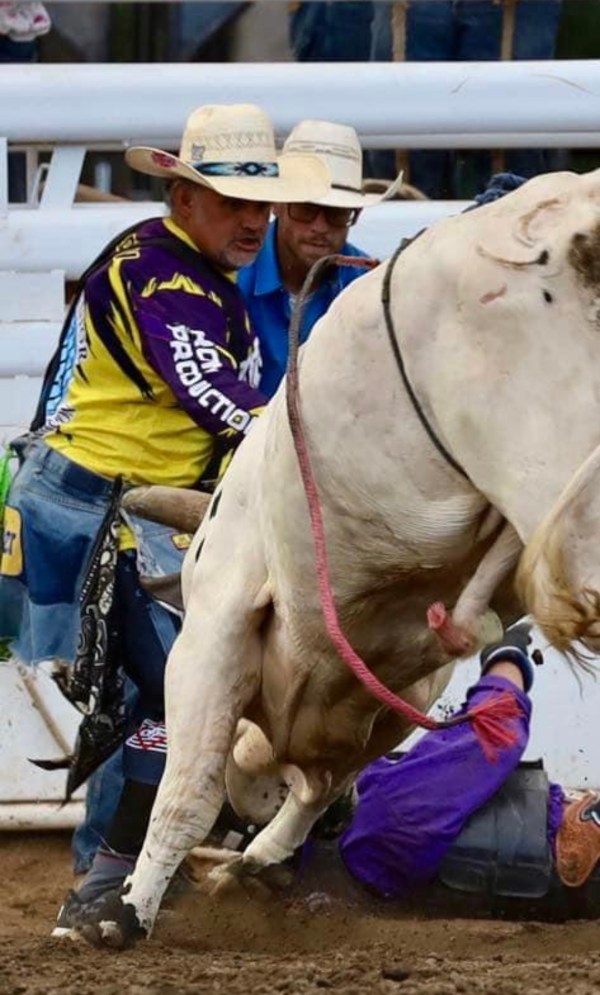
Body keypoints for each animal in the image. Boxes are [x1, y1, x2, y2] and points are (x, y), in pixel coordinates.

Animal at [81, 169, 600, 949]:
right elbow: (311, 790)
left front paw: (126, 911)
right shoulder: (396, 699)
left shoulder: (216, 627)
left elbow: (190, 790)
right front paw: (255, 861)